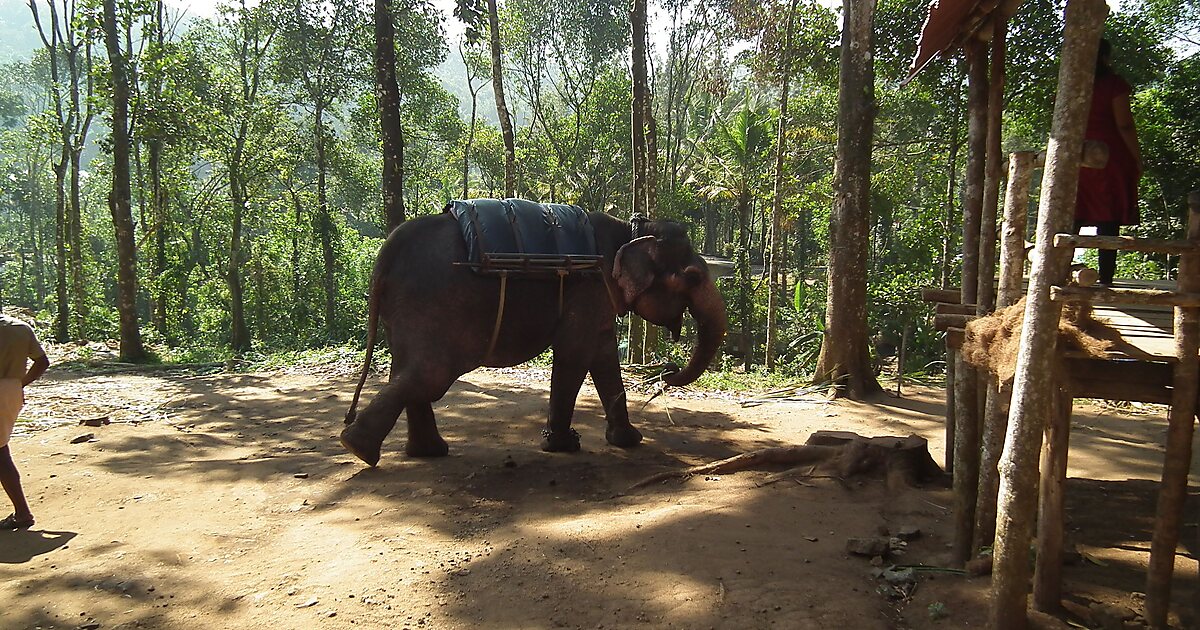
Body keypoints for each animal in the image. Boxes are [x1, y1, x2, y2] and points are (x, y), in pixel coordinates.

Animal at [339, 200, 727, 466]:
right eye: (693, 277)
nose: (665, 373)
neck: (630, 232)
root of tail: (386, 253)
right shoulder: (588, 288)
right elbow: (575, 353)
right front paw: (563, 445)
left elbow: (603, 357)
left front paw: (628, 440)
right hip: (432, 305)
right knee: (427, 374)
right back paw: (359, 448)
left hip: (404, 313)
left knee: (406, 370)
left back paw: (425, 451)